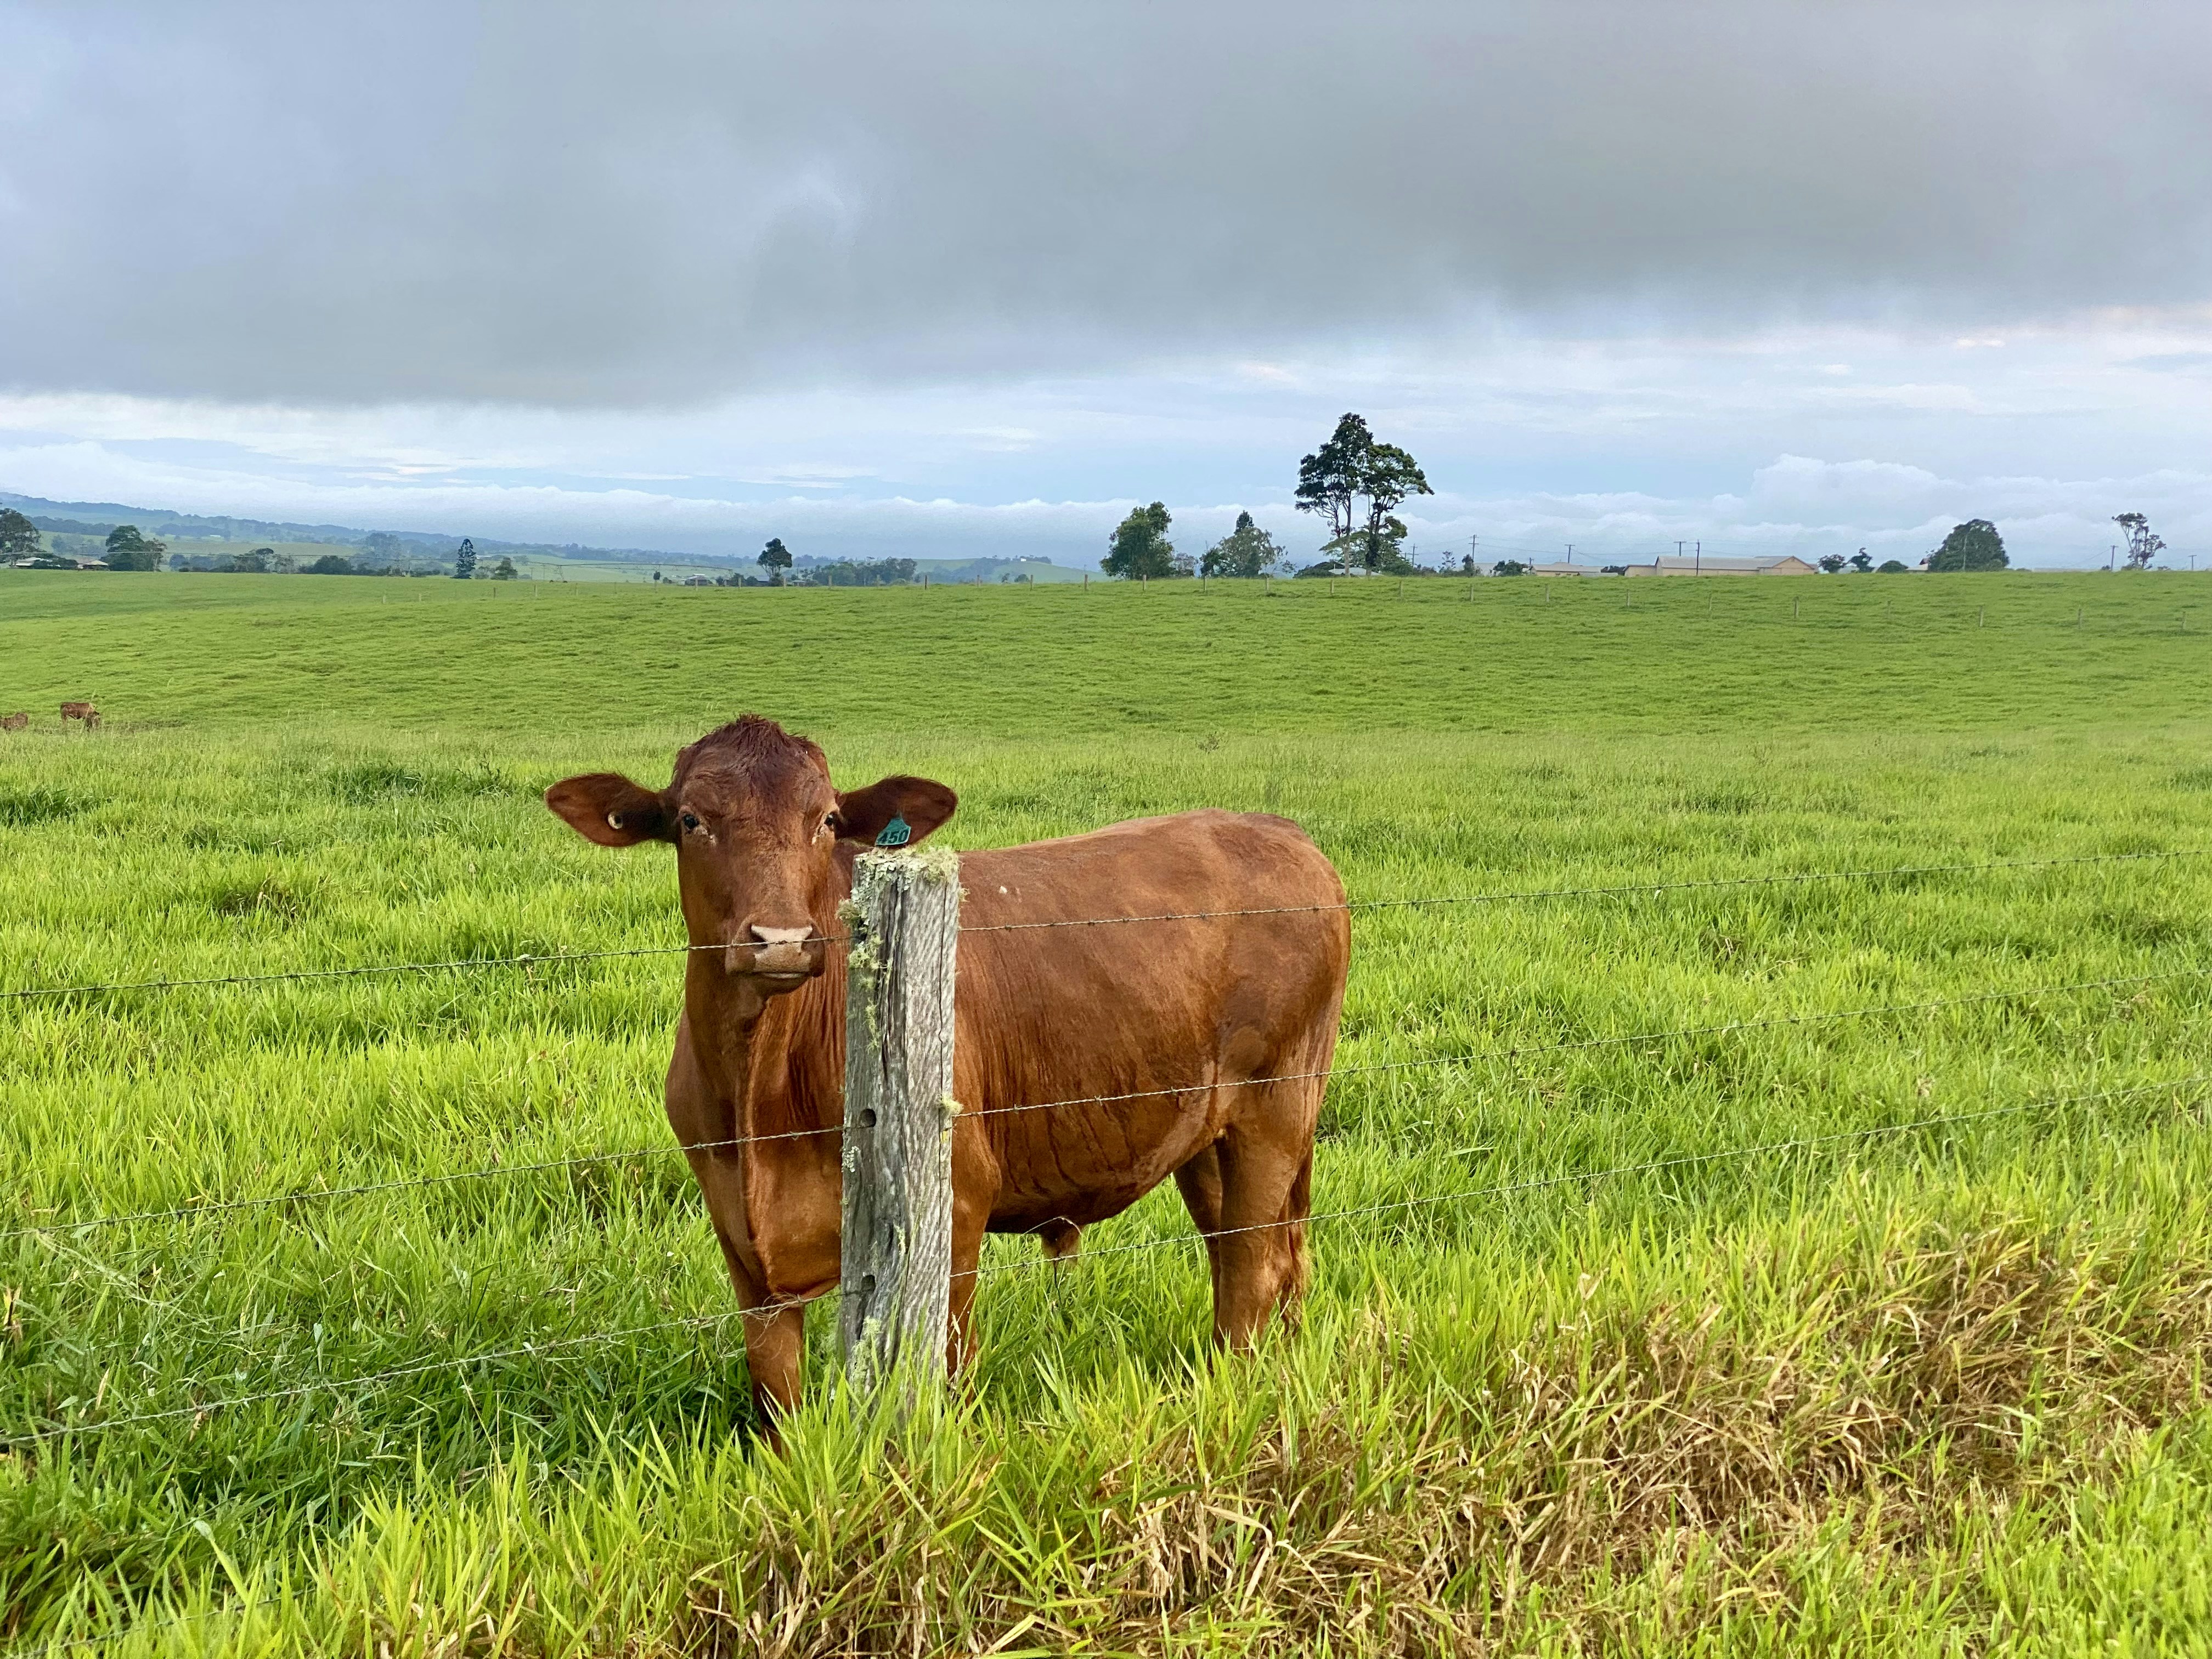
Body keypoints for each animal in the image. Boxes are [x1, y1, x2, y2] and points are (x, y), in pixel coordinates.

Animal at [544, 716, 1349, 1431]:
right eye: (690, 820)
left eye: (827, 820)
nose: (782, 940)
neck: (762, 1099)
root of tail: (1280, 830)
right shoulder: (741, 1241)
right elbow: (778, 1403)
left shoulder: (956, 1204)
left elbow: (944, 1370)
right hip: (1207, 1130)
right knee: (1251, 1257)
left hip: (1276, 1108)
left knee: (1254, 1268)